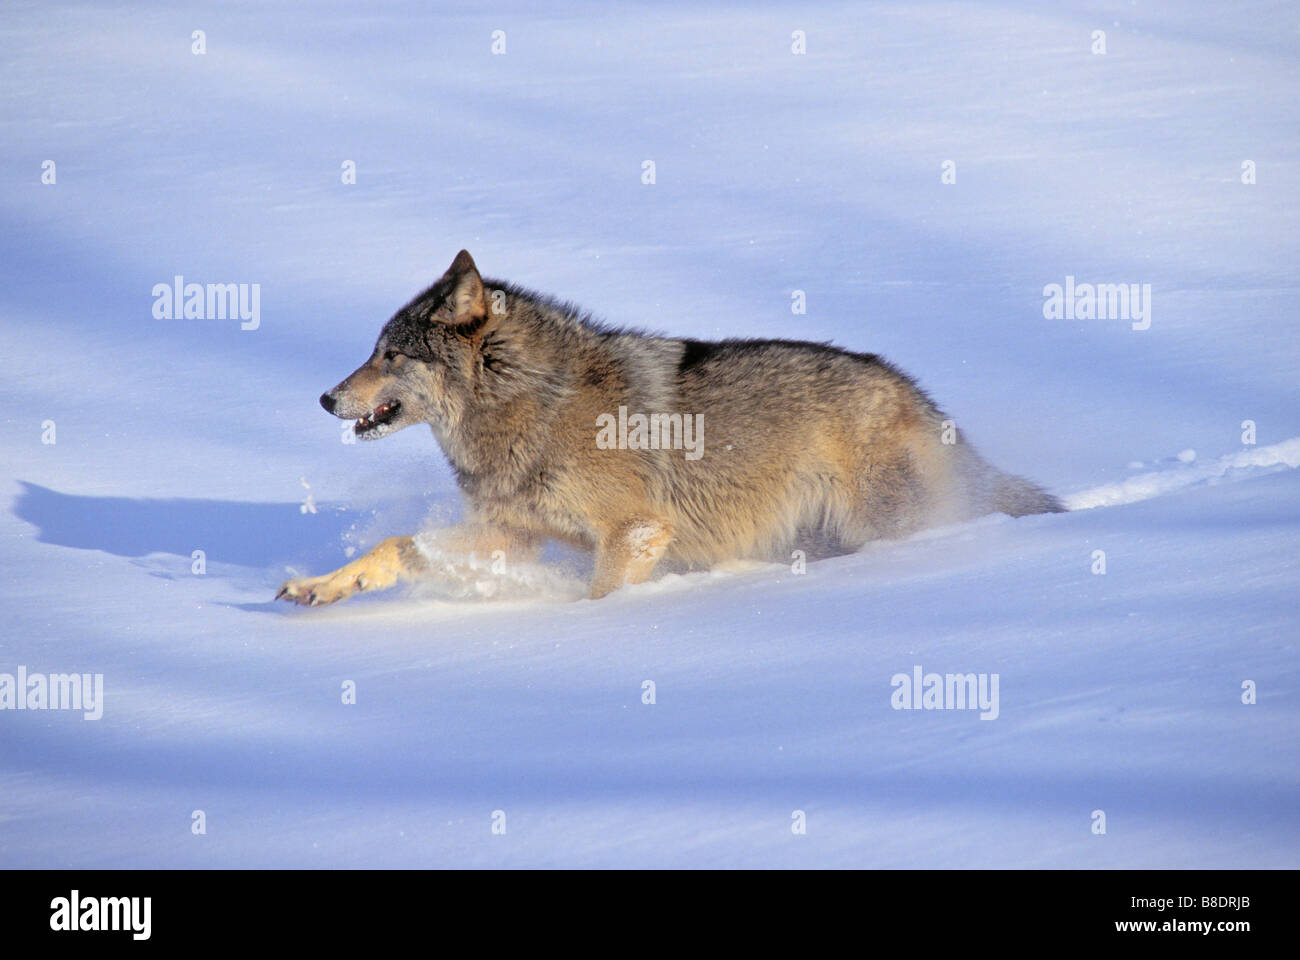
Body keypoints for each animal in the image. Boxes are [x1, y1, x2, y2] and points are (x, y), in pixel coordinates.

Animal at [277, 251, 1063, 606]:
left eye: (390, 355)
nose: (324, 398)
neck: (535, 406)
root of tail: (919, 395)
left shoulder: (636, 532)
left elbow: (600, 597)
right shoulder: (510, 536)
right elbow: (396, 548)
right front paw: (322, 587)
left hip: (886, 521)